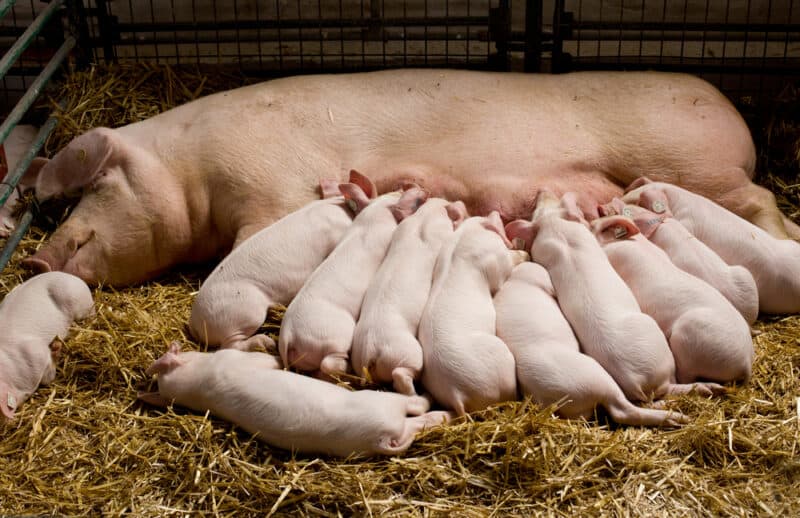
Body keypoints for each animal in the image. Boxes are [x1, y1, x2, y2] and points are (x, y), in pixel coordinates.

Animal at [18, 69, 793, 286]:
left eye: (98, 185)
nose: (33, 258)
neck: (190, 172)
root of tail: (732, 110)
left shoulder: (267, 182)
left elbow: (255, 240)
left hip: (696, 165)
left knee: (761, 200)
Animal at [138, 342, 452, 457]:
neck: (197, 386)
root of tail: (380, 439)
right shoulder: (239, 360)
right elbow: (268, 361)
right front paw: (279, 358)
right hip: (384, 404)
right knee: (416, 408)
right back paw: (438, 406)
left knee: (414, 425)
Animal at [350, 197, 455, 395]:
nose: (441, 198)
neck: (424, 218)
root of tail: (370, 351)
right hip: (408, 353)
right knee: (401, 375)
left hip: (358, 357)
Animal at [418, 207, 527, 415]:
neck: (465, 233)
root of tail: (456, 392)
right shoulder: (497, 261)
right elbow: (505, 269)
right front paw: (524, 254)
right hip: (501, 358)